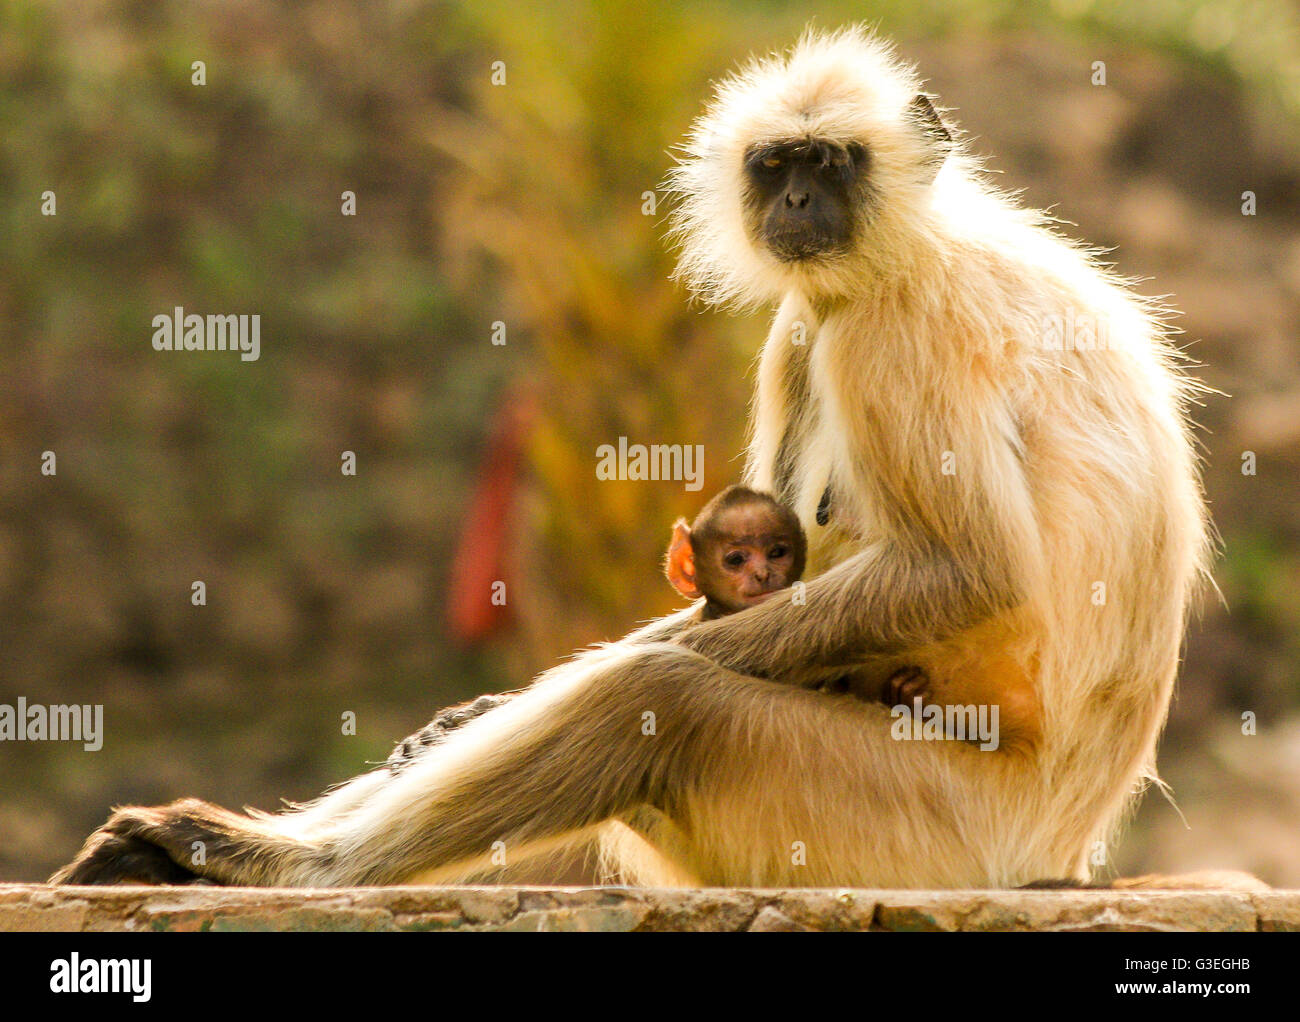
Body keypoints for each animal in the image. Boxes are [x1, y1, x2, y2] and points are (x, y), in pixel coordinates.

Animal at [53, 27, 1215, 890]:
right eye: (776, 166)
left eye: (829, 163)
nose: (797, 203)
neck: (915, 245)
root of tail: (1062, 850)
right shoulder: (810, 326)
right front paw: (463, 720)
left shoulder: (892, 331)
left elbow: (967, 573)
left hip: (928, 835)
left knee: (659, 697)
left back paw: (293, 865)